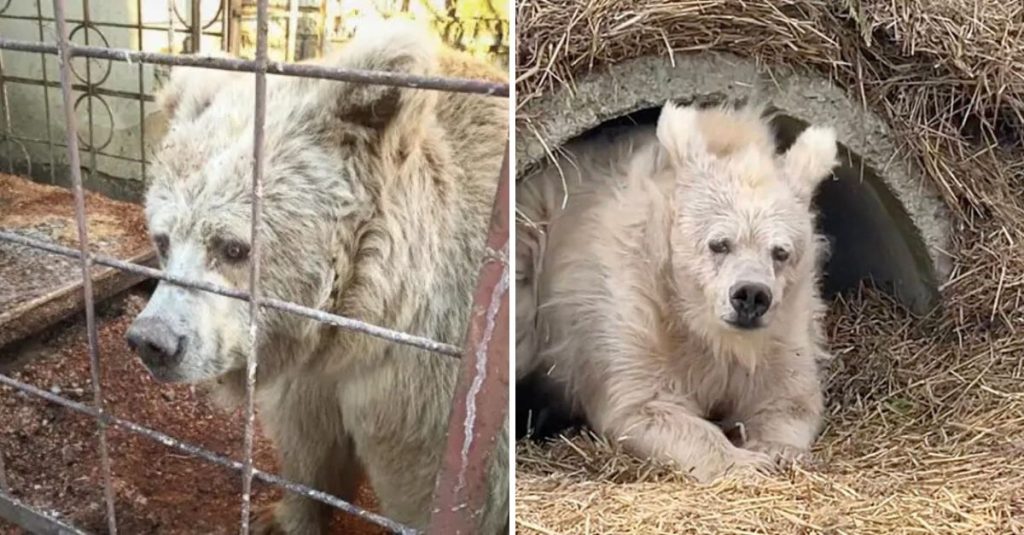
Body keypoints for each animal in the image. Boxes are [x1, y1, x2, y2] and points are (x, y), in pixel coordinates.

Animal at [124, 22, 509, 533]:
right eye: (163, 238)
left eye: (232, 247)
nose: (153, 341)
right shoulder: (310, 370)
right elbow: (308, 443)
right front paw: (283, 515)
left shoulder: (433, 397)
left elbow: (426, 485)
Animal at [515, 101, 837, 481]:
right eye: (719, 243)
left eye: (781, 252)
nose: (751, 296)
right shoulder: (636, 311)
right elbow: (647, 404)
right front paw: (746, 462)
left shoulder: (785, 324)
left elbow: (789, 397)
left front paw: (776, 450)